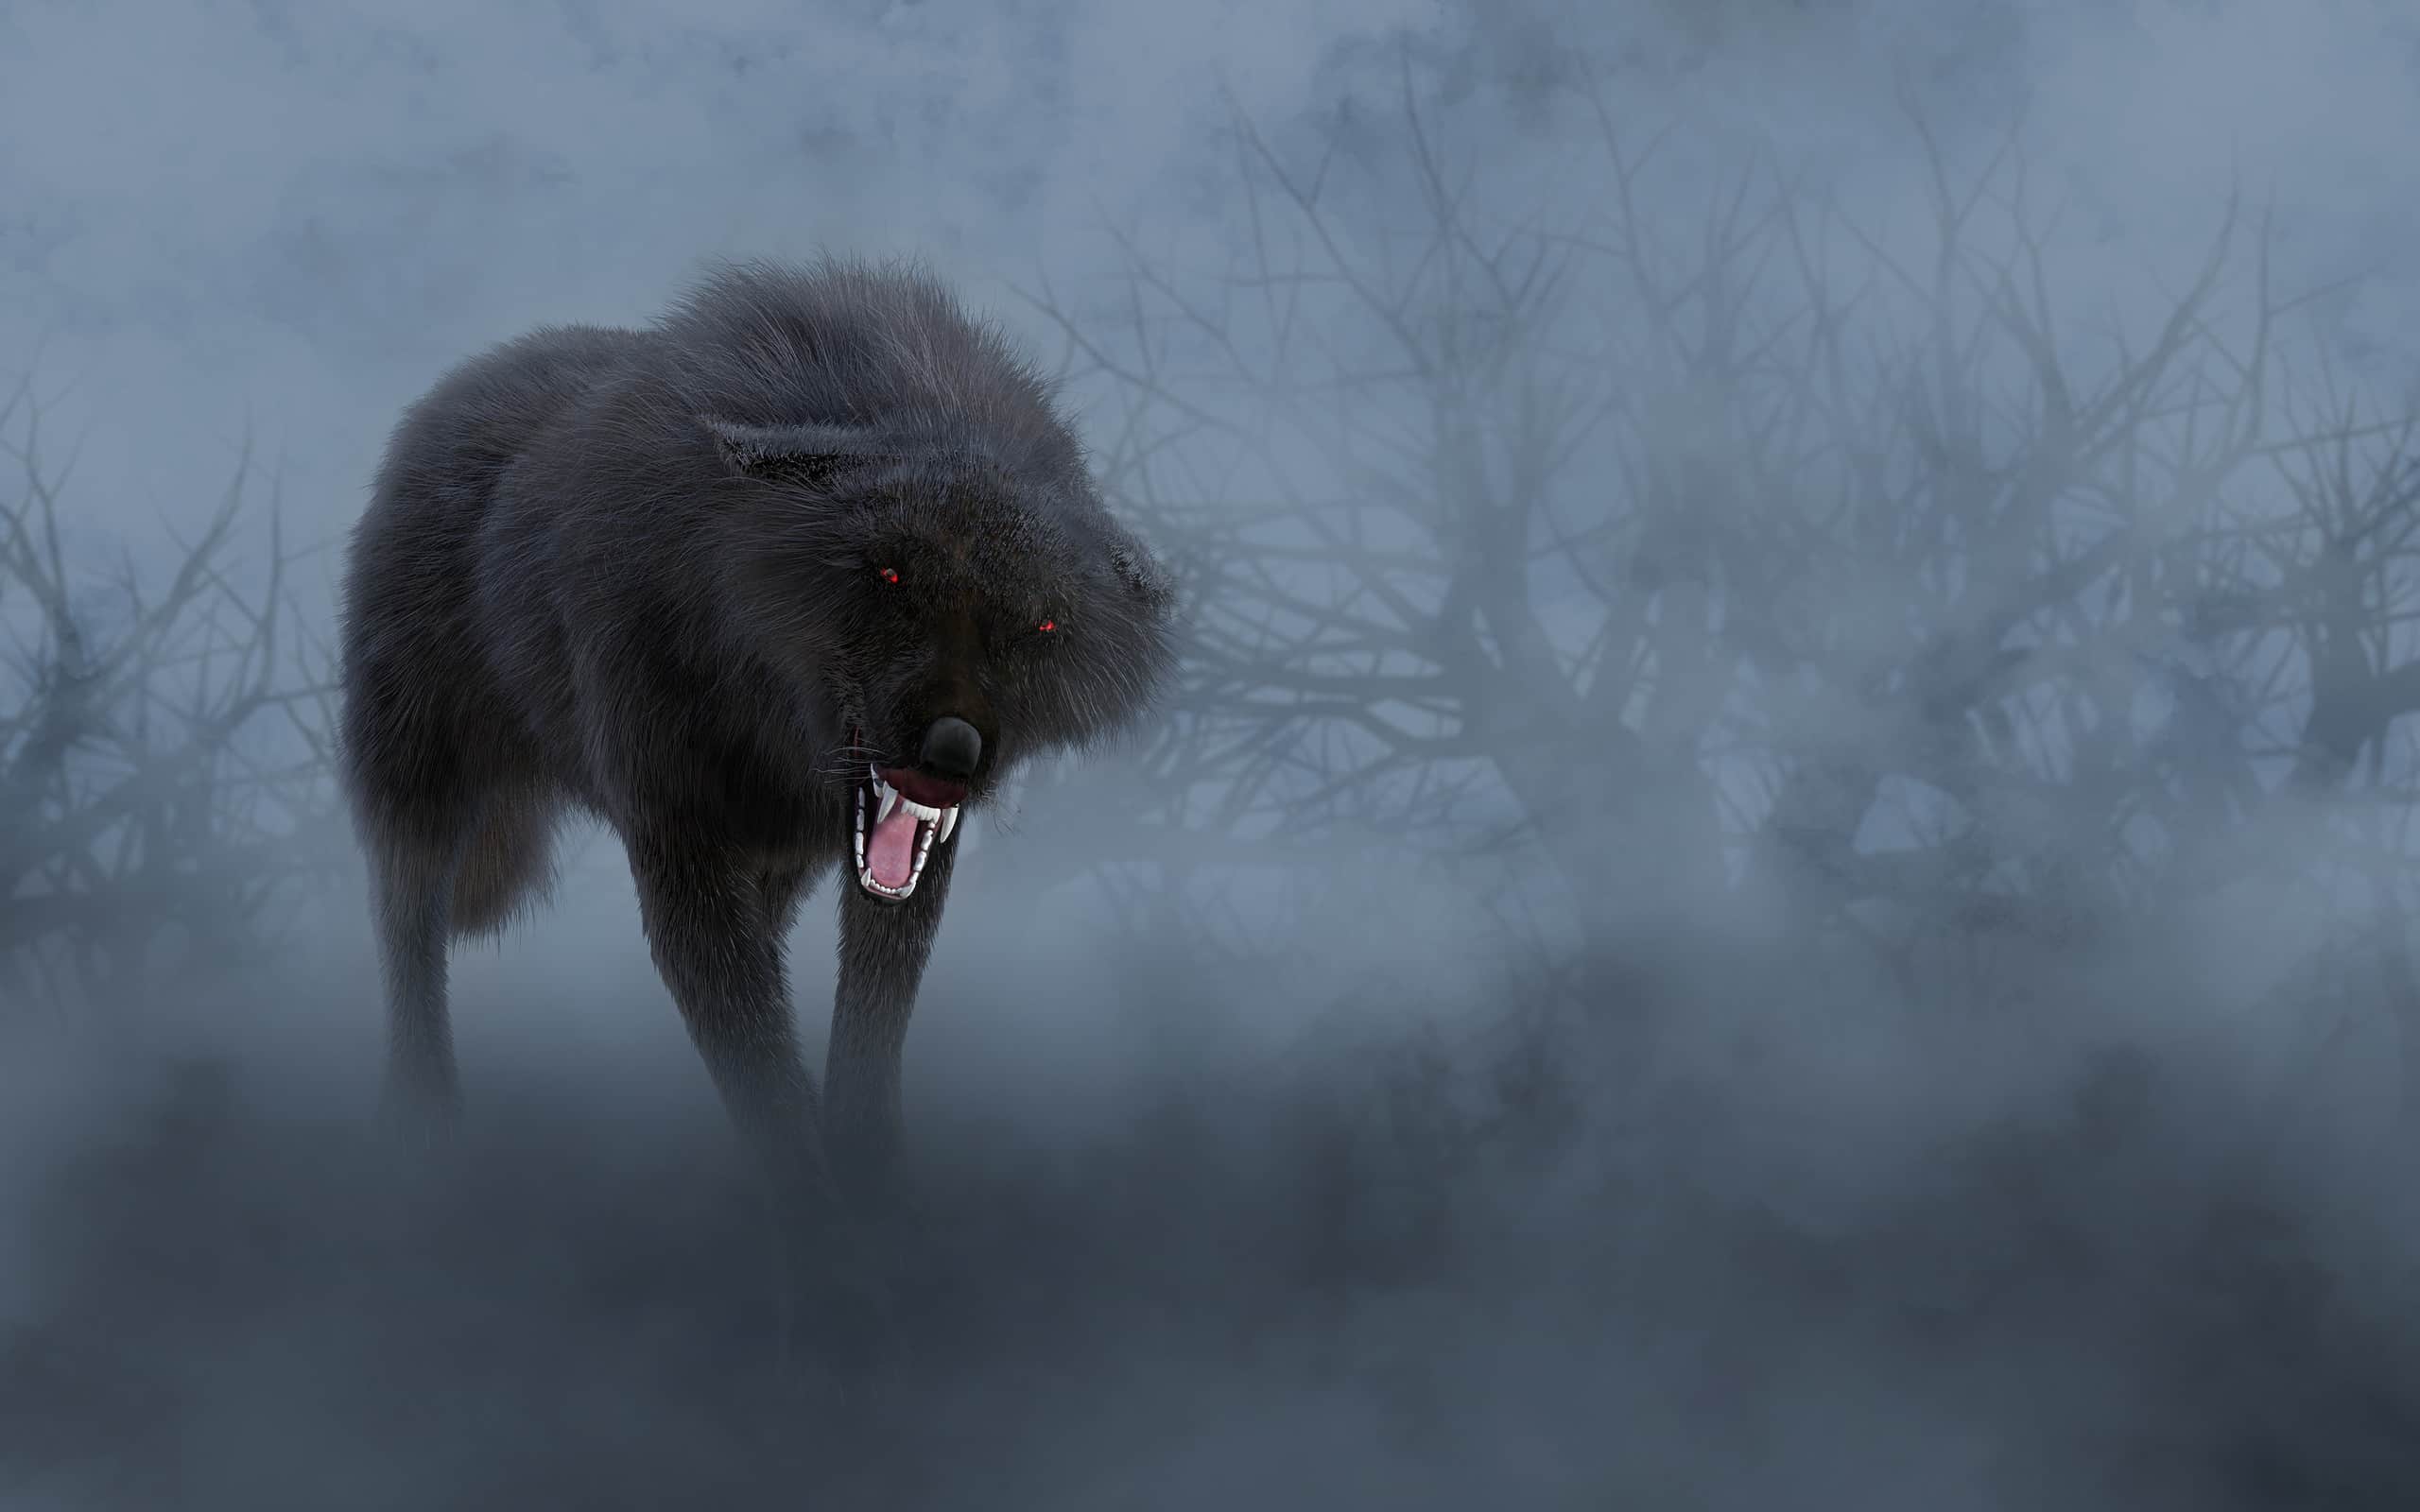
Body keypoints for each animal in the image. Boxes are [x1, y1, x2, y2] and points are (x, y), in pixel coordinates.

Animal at [338, 256, 1176, 1255]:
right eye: (889, 574)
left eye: (1041, 628)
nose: (953, 747)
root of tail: (454, 387)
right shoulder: (677, 842)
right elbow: (758, 1064)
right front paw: (821, 1238)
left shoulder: (857, 860)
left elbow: (860, 1035)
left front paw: (879, 1201)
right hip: (421, 774)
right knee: (406, 921)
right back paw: (419, 1133)